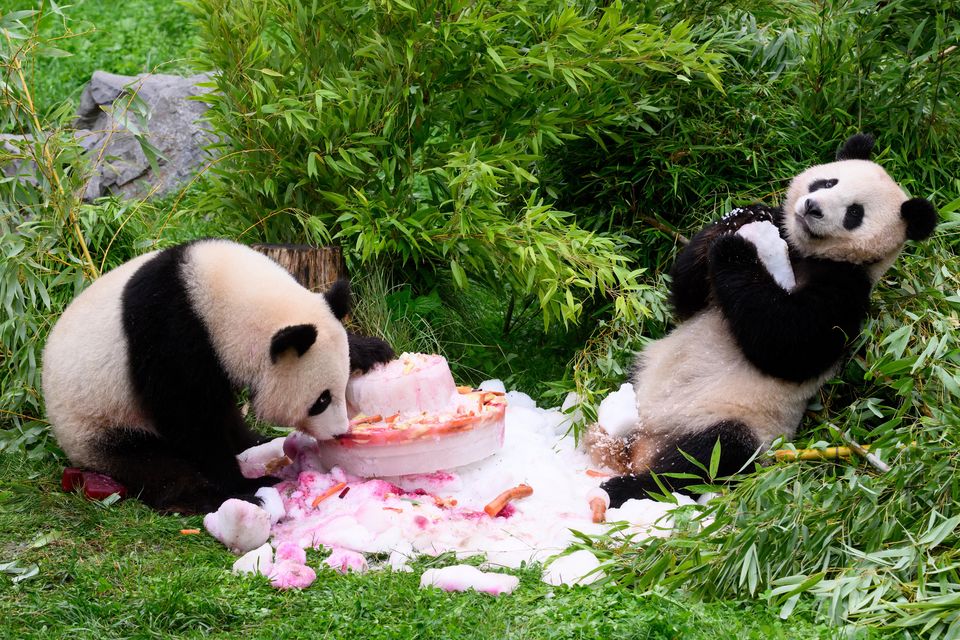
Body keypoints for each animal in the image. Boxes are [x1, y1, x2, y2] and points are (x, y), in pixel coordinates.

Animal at [42, 239, 394, 513]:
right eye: (320, 400)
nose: (339, 432)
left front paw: (371, 350)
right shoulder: (170, 334)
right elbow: (189, 420)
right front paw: (243, 485)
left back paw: (256, 442)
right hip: (98, 426)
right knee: (155, 465)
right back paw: (204, 497)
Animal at [588, 134, 938, 507]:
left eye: (854, 213)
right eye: (828, 182)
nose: (812, 207)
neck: (803, 253)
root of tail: (642, 445)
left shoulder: (847, 291)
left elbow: (789, 341)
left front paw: (735, 250)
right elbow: (685, 297)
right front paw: (744, 217)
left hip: (736, 420)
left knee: (706, 459)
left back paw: (623, 489)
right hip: (643, 374)